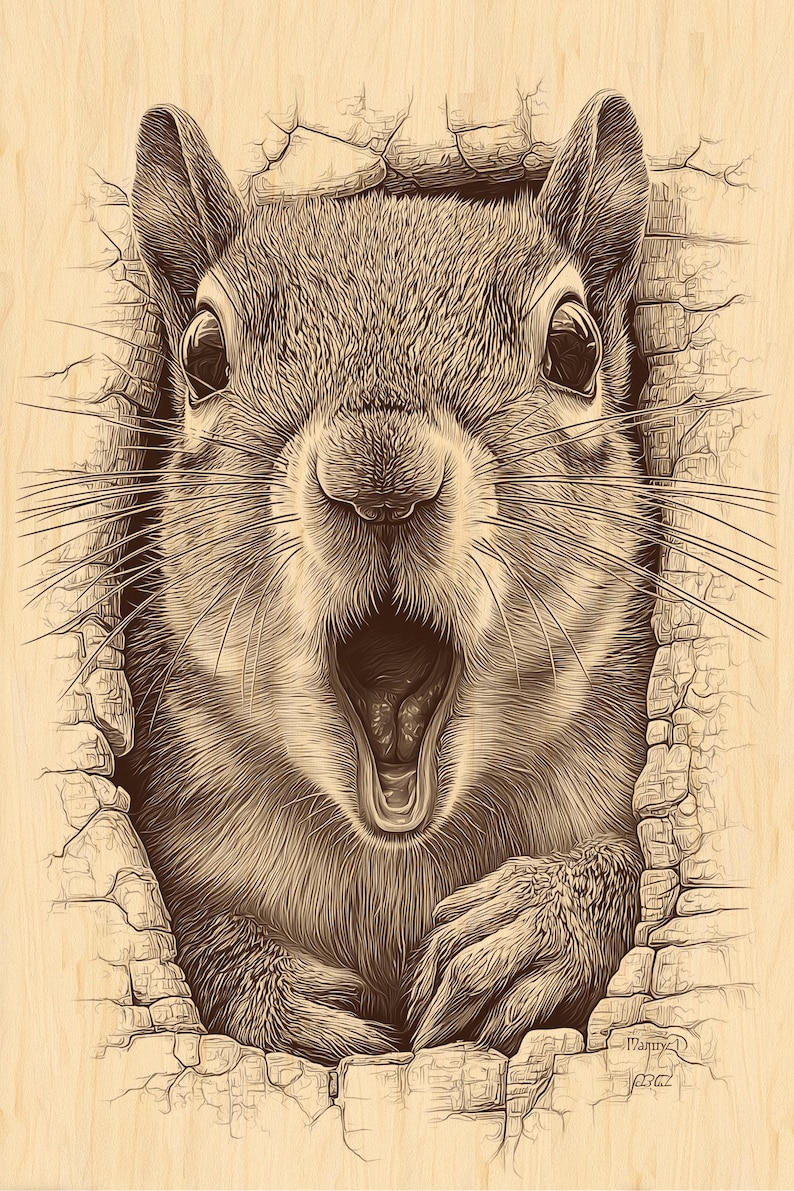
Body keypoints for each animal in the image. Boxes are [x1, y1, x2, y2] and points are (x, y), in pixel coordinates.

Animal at [123, 91, 655, 1065]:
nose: (381, 476)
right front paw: (268, 989)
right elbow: (184, 925)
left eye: (572, 347)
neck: (401, 854)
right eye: (205, 357)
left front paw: (533, 927)